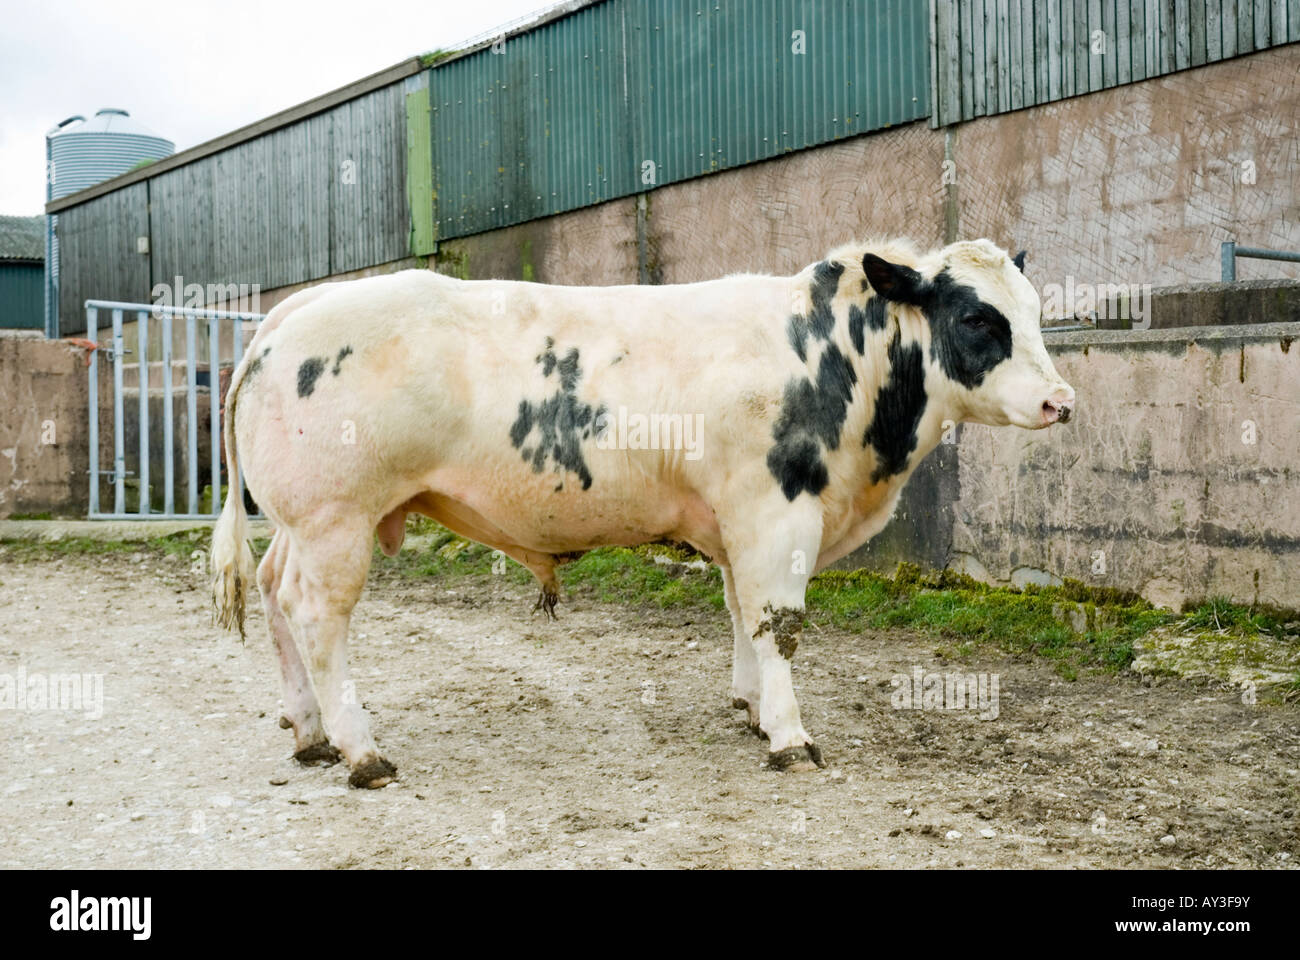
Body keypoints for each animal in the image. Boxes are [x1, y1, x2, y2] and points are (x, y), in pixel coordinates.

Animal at [211, 238, 1075, 787]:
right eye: (977, 318)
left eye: (1034, 311)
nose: (1061, 401)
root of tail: (296, 310)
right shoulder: (776, 512)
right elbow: (778, 623)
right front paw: (789, 736)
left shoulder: (735, 521)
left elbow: (740, 612)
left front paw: (751, 708)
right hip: (334, 520)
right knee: (316, 616)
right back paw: (361, 752)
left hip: (299, 526)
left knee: (273, 591)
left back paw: (310, 734)